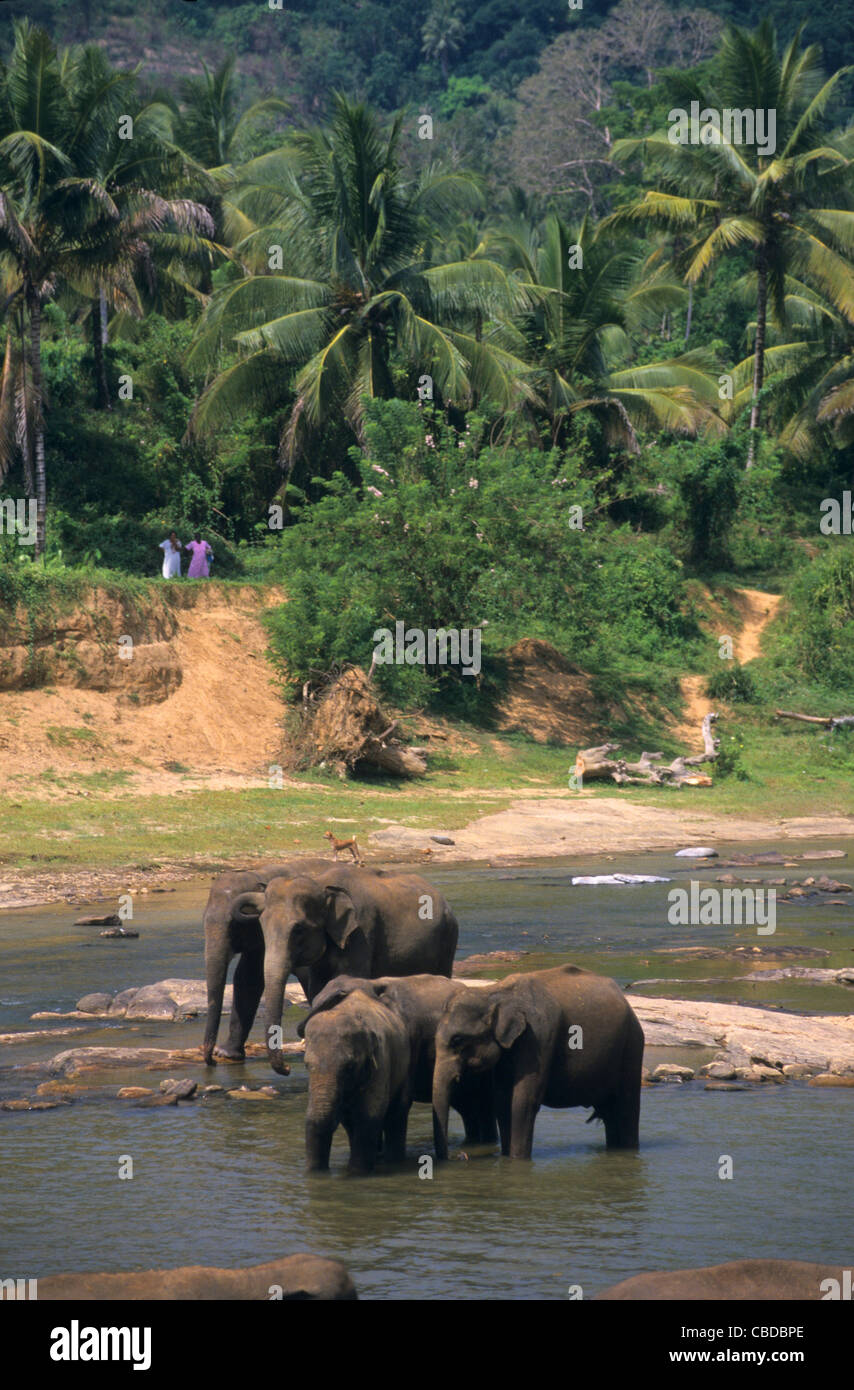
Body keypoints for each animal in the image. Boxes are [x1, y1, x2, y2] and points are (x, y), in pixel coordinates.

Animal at [230, 867, 459, 1075]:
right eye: (262, 926)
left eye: (299, 929)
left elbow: (350, 978)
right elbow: (317, 989)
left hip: (447, 941)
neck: (321, 883)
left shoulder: (361, 932)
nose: (287, 1069)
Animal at [303, 987, 411, 1173]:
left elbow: (370, 1112)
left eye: (349, 1066)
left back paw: (393, 1161)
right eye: (307, 1065)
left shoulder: (381, 1060)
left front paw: (356, 1172)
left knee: (397, 1112)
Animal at [432, 964, 643, 1159]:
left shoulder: (540, 1037)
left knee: (626, 1108)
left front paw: (517, 1161)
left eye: (457, 1040)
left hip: (631, 1045)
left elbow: (522, 1101)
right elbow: (502, 1099)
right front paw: (506, 1158)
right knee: (611, 1114)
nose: (458, 1156)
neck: (495, 993)